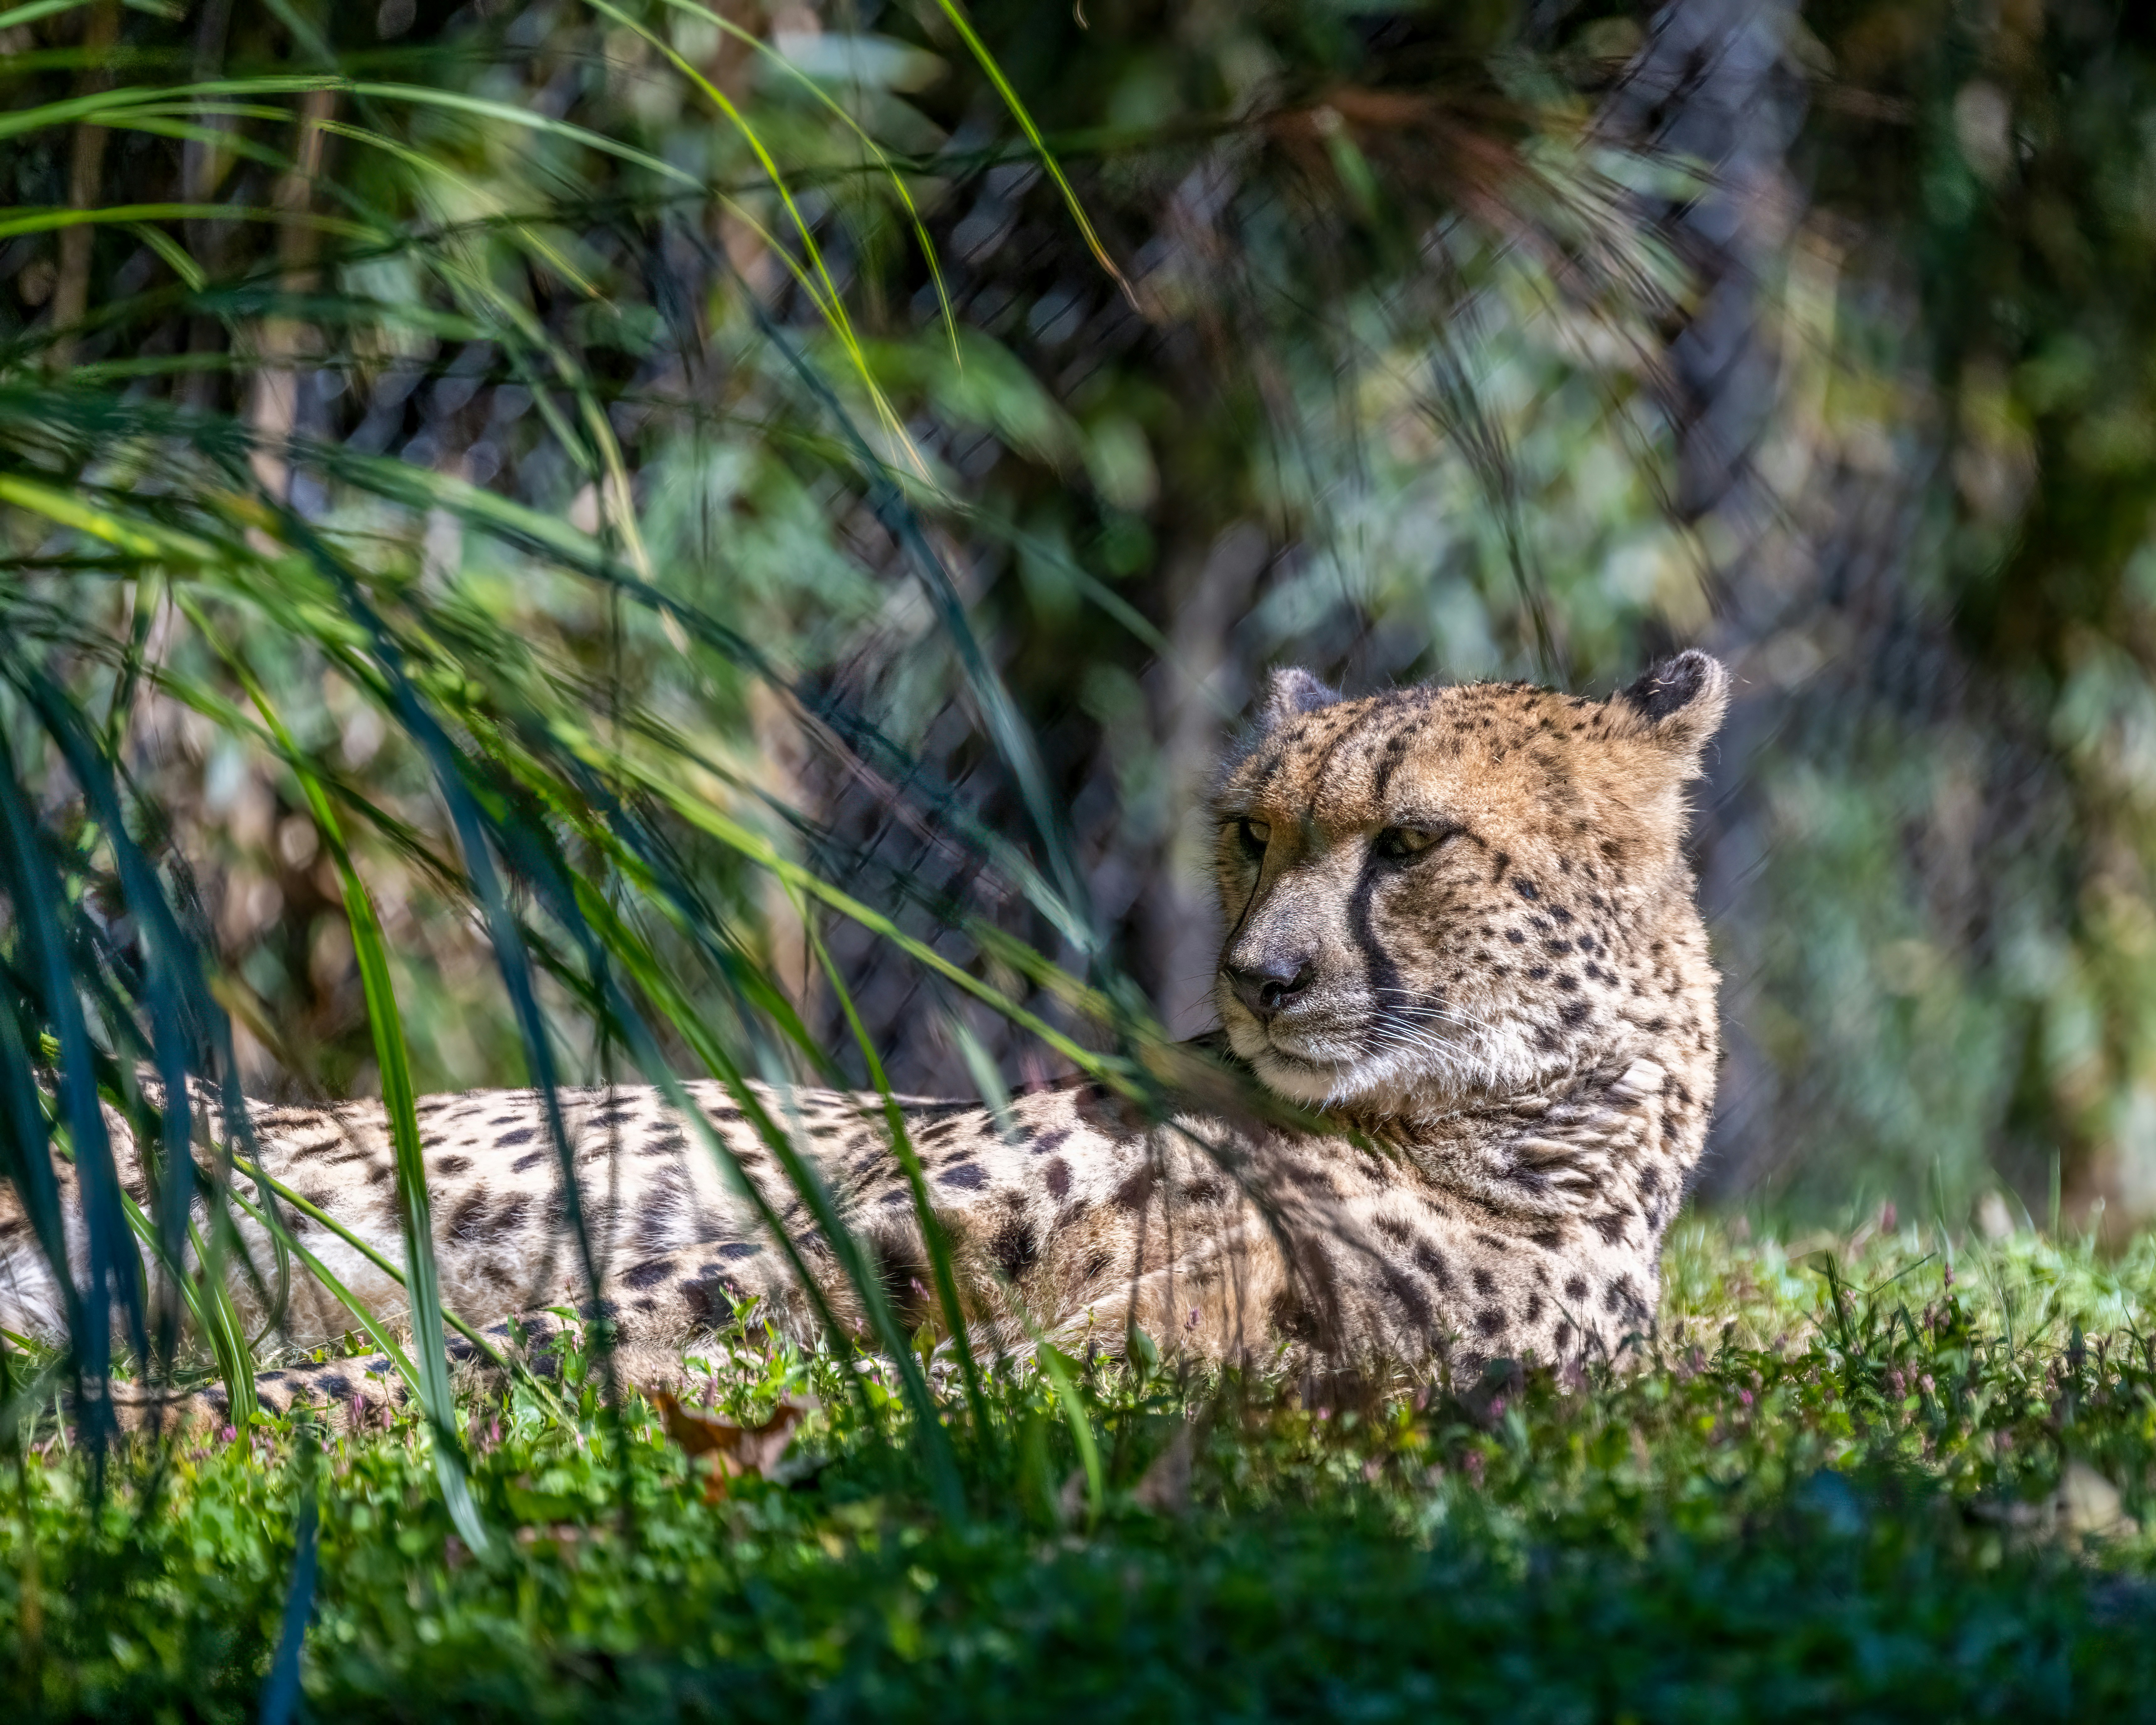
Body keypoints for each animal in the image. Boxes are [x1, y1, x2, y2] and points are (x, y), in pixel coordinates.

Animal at [0, 650, 1728, 1425]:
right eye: (1251, 831)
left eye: (1411, 842)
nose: (1261, 976)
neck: (1491, 1126)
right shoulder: (870, 1237)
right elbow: (508, 1338)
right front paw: (147, 1425)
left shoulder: (1197, 1354)